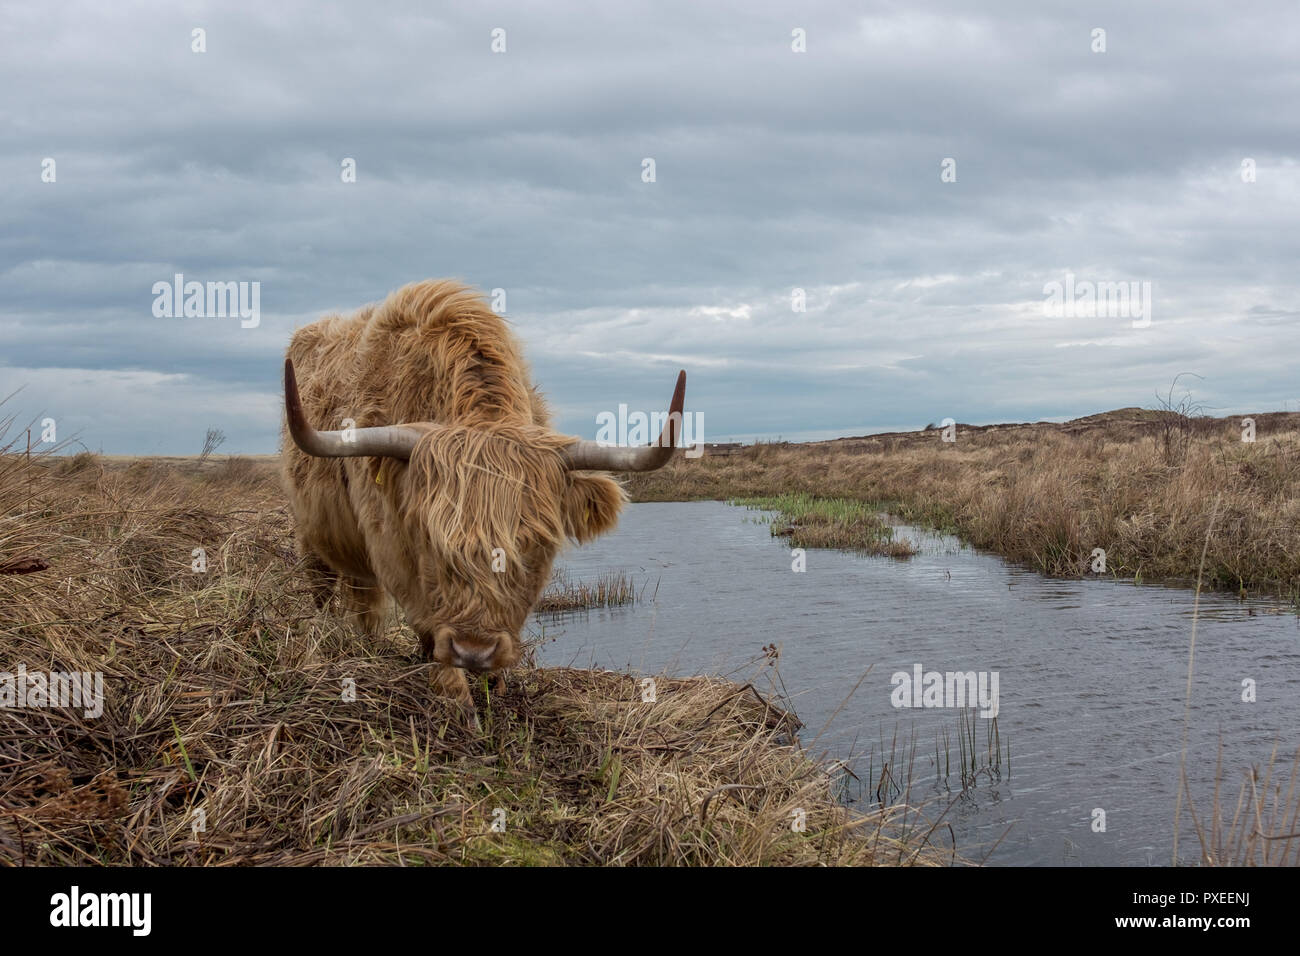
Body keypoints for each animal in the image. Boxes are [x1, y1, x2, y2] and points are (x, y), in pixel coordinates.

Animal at [280, 279, 685, 717]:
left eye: (534, 545)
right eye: (430, 540)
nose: (474, 651)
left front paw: (496, 685)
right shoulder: (393, 549)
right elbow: (427, 624)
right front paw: (457, 700)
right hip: (310, 534)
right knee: (325, 588)